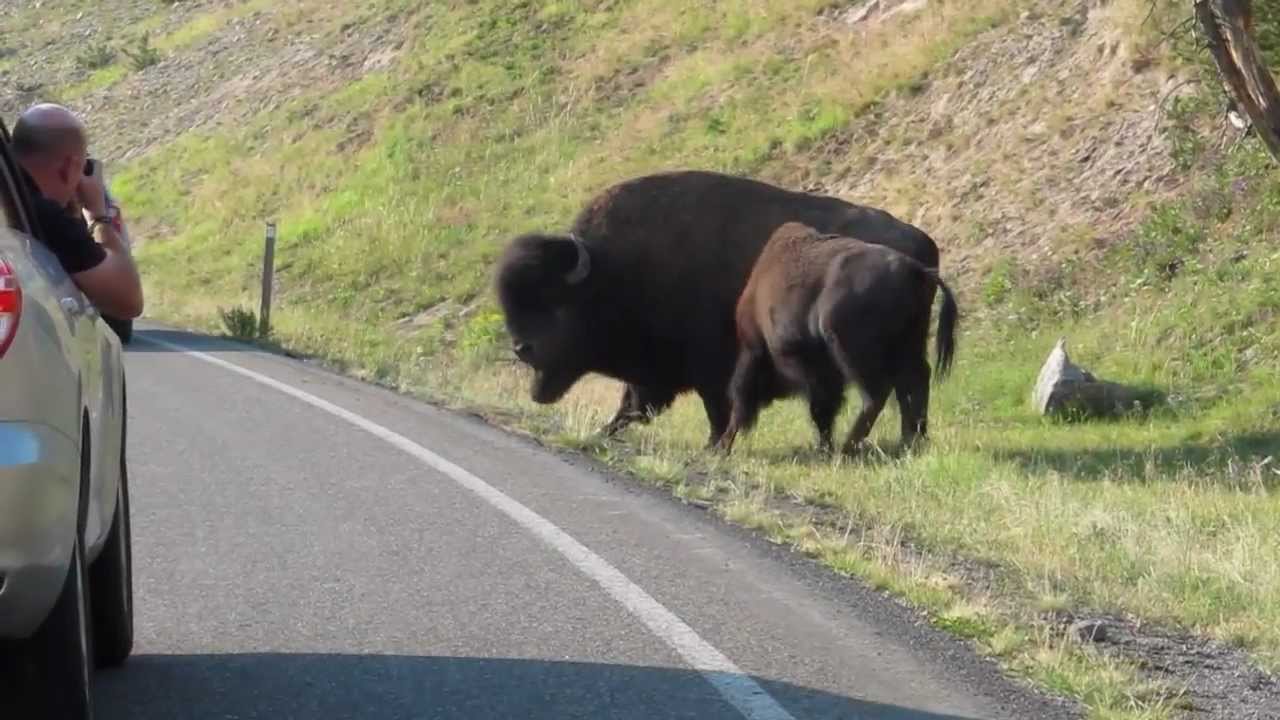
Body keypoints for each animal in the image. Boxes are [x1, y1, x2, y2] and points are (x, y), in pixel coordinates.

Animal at [714, 221, 959, 456]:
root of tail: (915, 269)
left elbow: (821, 407)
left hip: (852, 351)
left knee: (877, 394)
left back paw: (847, 448)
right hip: (910, 343)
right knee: (914, 381)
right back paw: (912, 440)